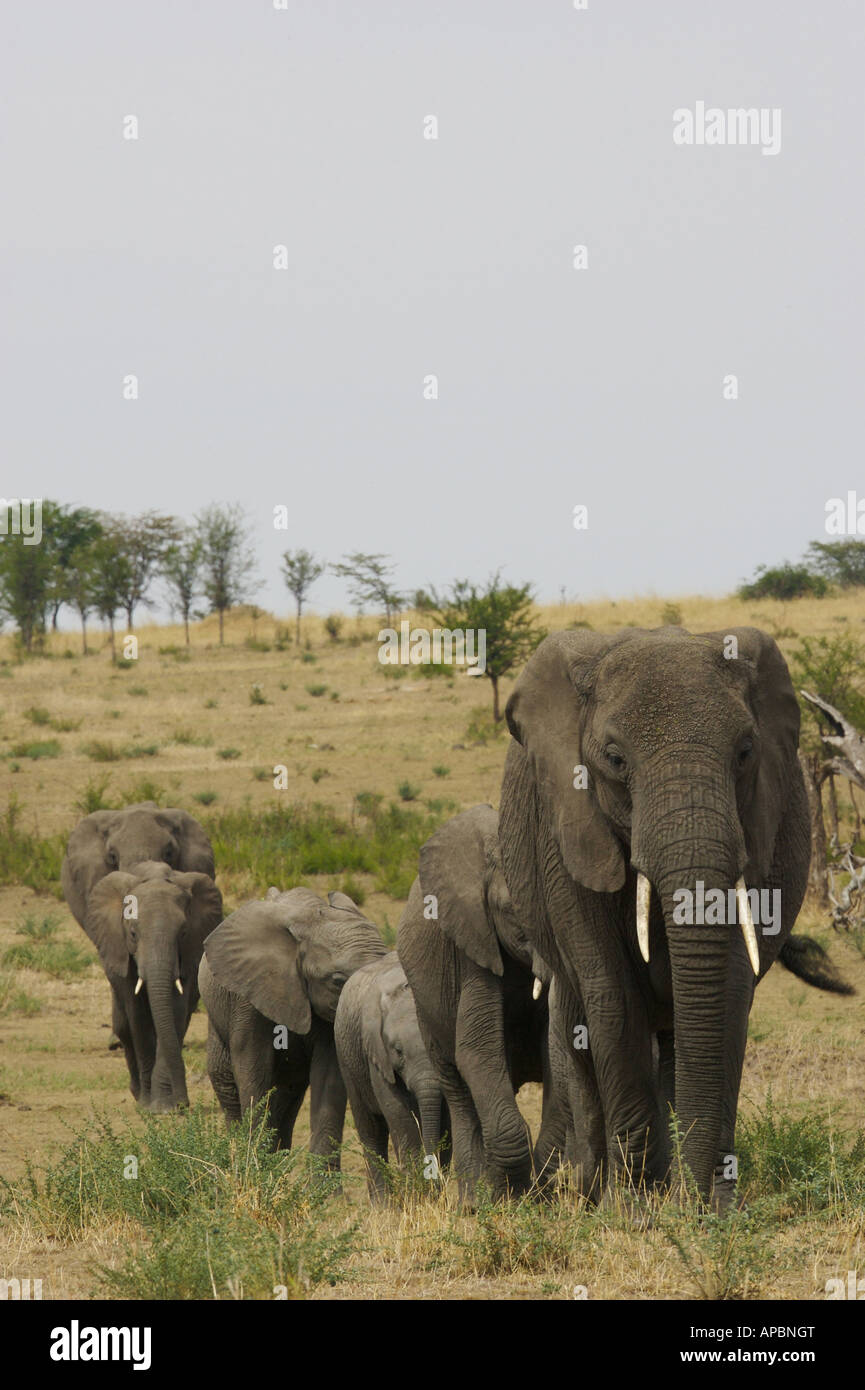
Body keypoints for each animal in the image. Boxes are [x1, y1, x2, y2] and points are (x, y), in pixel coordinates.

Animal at [84, 860, 223, 1111]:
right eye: (132, 933)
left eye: (184, 933)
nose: (184, 1103)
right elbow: (138, 1016)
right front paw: (150, 1106)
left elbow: (175, 1011)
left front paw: (164, 1108)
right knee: (124, 1027)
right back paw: (139, 1095)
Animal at [199, 887, 387, 1167]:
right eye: (337, 981)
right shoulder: (249, 995)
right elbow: (253, 1067)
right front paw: (256, 1169)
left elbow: (329, 1077)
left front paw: (325, 1182)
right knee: (227, 1085)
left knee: (286, 1100)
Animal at [334, 951, 450, 1202]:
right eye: (398, 1051)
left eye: (437, 1045)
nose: (432, 1185)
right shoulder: (376, 1053)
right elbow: (398, 1112)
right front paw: (417, 1195)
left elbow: (447, 1117)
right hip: (346, 1058)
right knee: (370, 1129)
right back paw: (382, 1203)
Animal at [397, 804, 569, 1201]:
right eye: (513, 911)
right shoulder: (471, 939)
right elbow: (476, 1049)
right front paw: (511, 1195)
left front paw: (537, 1193)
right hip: (426, 1011)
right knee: (458, 1088)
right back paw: (473, 1202)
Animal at [498, 625, 817, 1211]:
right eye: (615, 760)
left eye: (745, 752)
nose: (697, 1200)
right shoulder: (567, 832)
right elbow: (612, 993)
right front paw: (635, 1208)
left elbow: (729, 990)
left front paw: (714, 1206)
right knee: (578, 1028)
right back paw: (595, 1193)